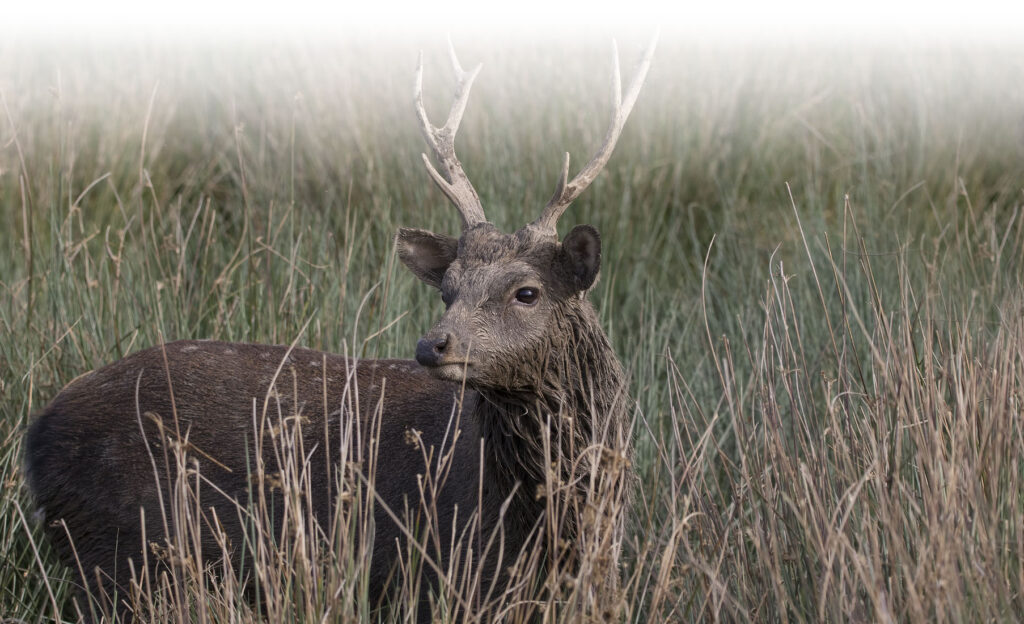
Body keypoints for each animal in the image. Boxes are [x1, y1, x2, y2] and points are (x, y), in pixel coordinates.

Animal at [24, 38, 655, 622]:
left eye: (527, 292)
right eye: (447, 287)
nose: (434, 344)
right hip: (120, 554)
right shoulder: (452, 572)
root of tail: (35, 438)